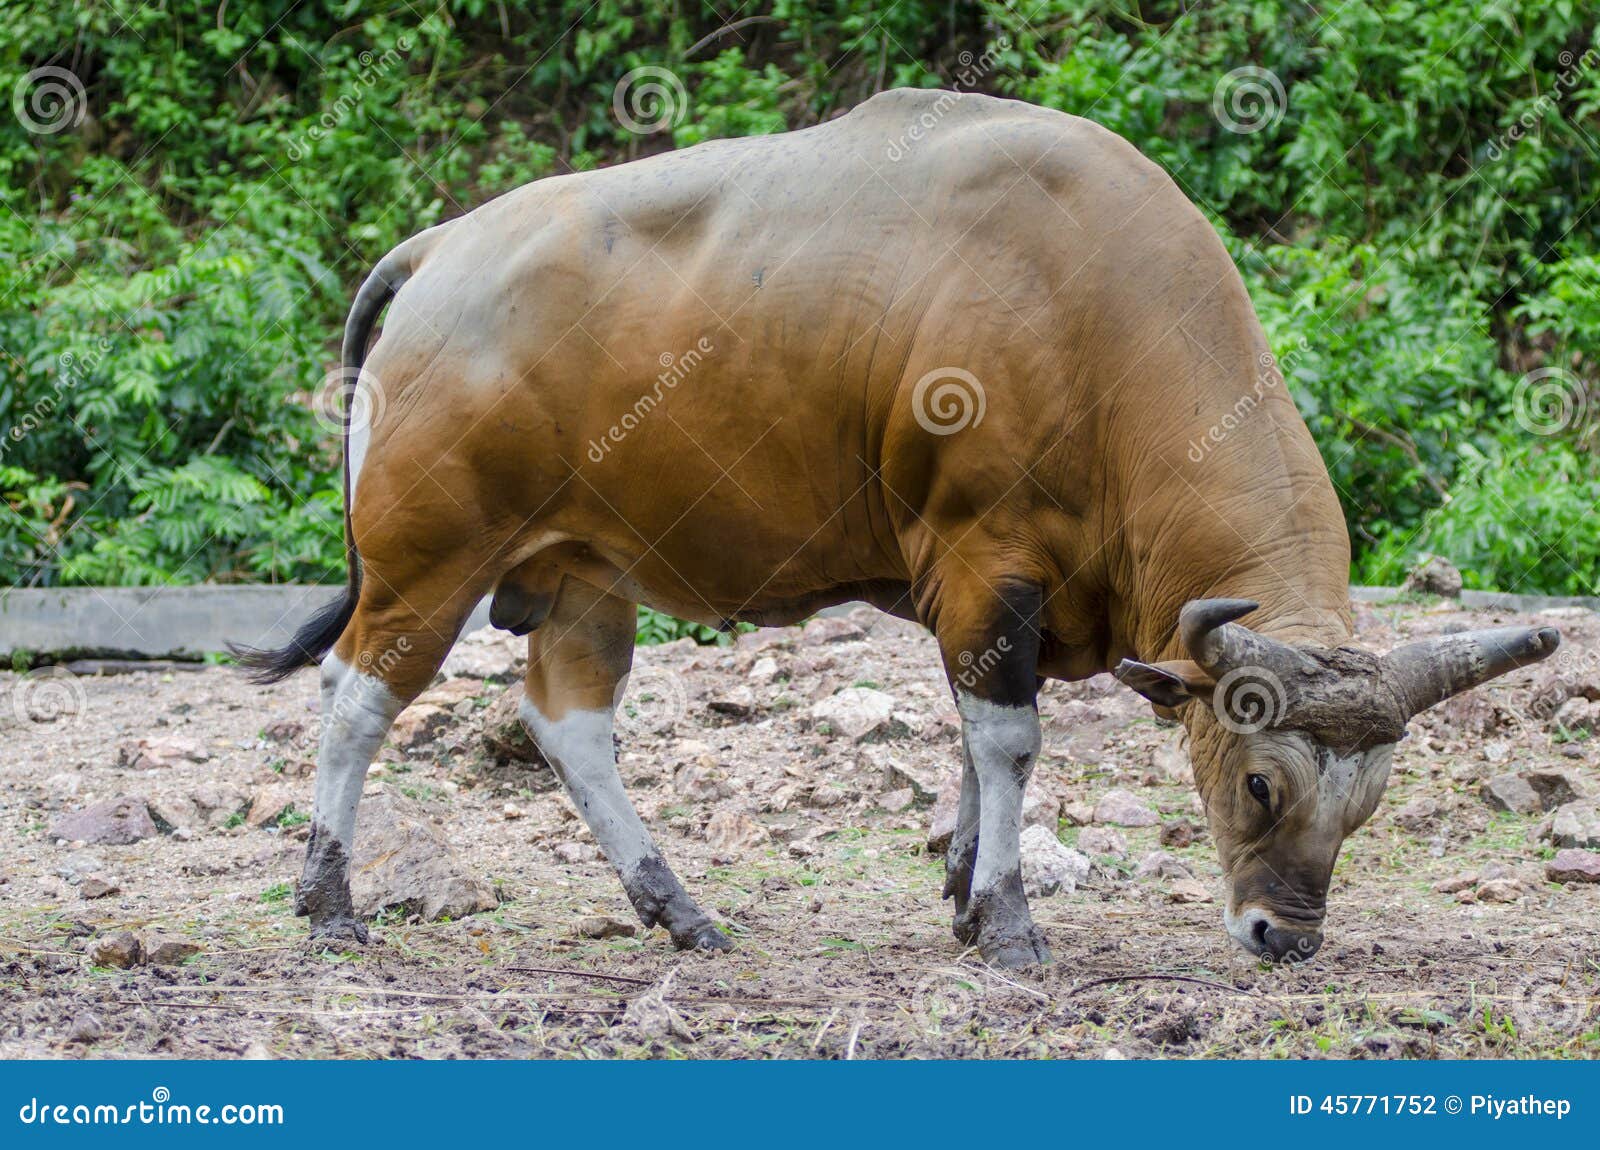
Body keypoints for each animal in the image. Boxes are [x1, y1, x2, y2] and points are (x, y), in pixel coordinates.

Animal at [238, 89, 1558, 969]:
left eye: (1367, 802)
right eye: (1258, 784)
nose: (1283, 934)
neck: (1088, 312)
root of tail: (439, 249)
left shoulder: (993, 596)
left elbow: (979, 747)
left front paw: (971, 895)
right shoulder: (983, 557)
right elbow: (1009, 740)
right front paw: (1009, 922)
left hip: (582, 575)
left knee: (569, 725)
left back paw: (678, 908)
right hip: (428, 558)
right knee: (356, 695)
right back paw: (330, 901)